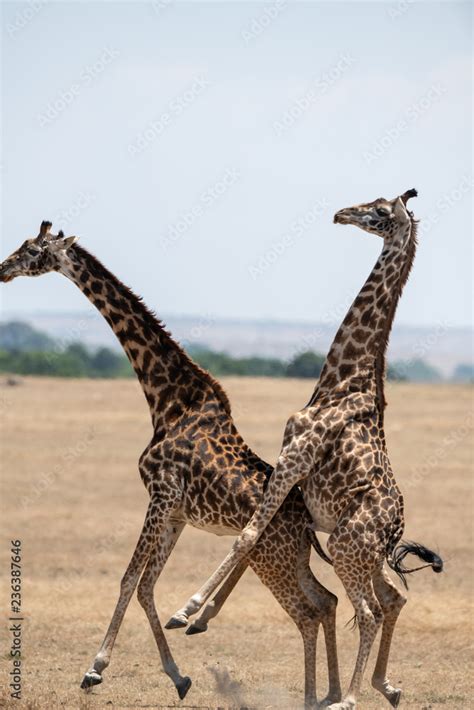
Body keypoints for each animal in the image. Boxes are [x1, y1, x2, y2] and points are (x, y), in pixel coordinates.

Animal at [0, 221, 342, 708]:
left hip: (271, 558)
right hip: (286, 557)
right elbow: (146, 585)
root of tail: (307, 521)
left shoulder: (160, 496)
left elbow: (128, 579)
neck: (166, 399)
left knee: (308, 612)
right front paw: (177, 676)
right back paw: (331, 692)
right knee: (327, 601)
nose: (3, 268)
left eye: (32, 250)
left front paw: (94, 670)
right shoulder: (177, 513)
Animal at [167, 189, 443, 709]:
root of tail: (394, 530)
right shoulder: (295, 479)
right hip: (354, 550)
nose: (341, 213)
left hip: (345, 545)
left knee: (371, 610)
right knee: (393, 598)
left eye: (380, 211)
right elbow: (255, 535)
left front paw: (186, 609)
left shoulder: (295, 455)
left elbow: (247, 535)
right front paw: (200, 618)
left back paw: (350, 697)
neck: (342, 379)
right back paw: (385, 686)